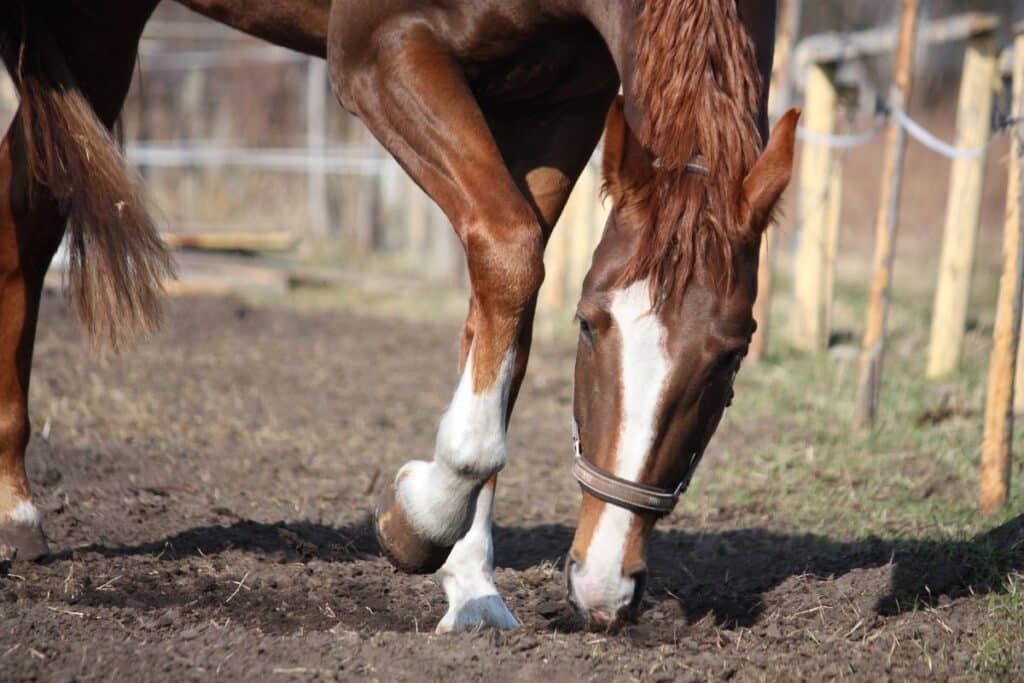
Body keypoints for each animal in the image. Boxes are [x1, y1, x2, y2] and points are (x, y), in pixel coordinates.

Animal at [0, 0, 796, 632]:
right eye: (590, 323)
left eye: (731, 356)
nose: (604, 586)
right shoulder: (379, 50)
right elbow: (509, 254)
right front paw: (419, 518)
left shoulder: (564, 100)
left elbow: (503, 302)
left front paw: (469, 582)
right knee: (29, 222)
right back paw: (15, 509)